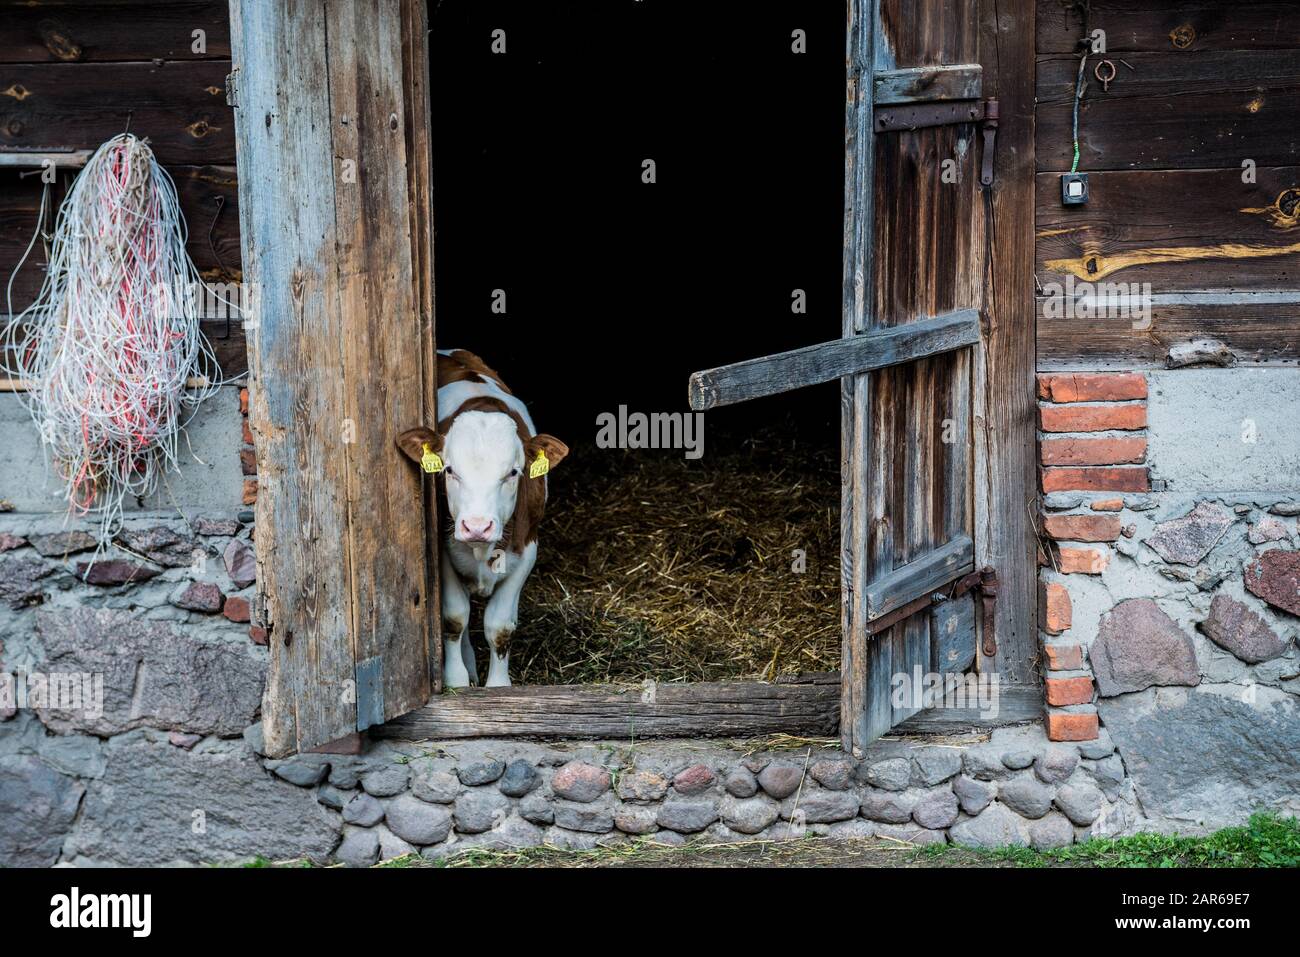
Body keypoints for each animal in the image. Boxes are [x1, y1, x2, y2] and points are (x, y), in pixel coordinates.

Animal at [395, 349, 568, 688]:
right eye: (449, 470)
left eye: (513, 472)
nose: (477, 526)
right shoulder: (442, 553)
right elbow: (453, 617)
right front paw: (456, 682)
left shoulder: (528, 550)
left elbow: (500, 626)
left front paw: (498, 686)